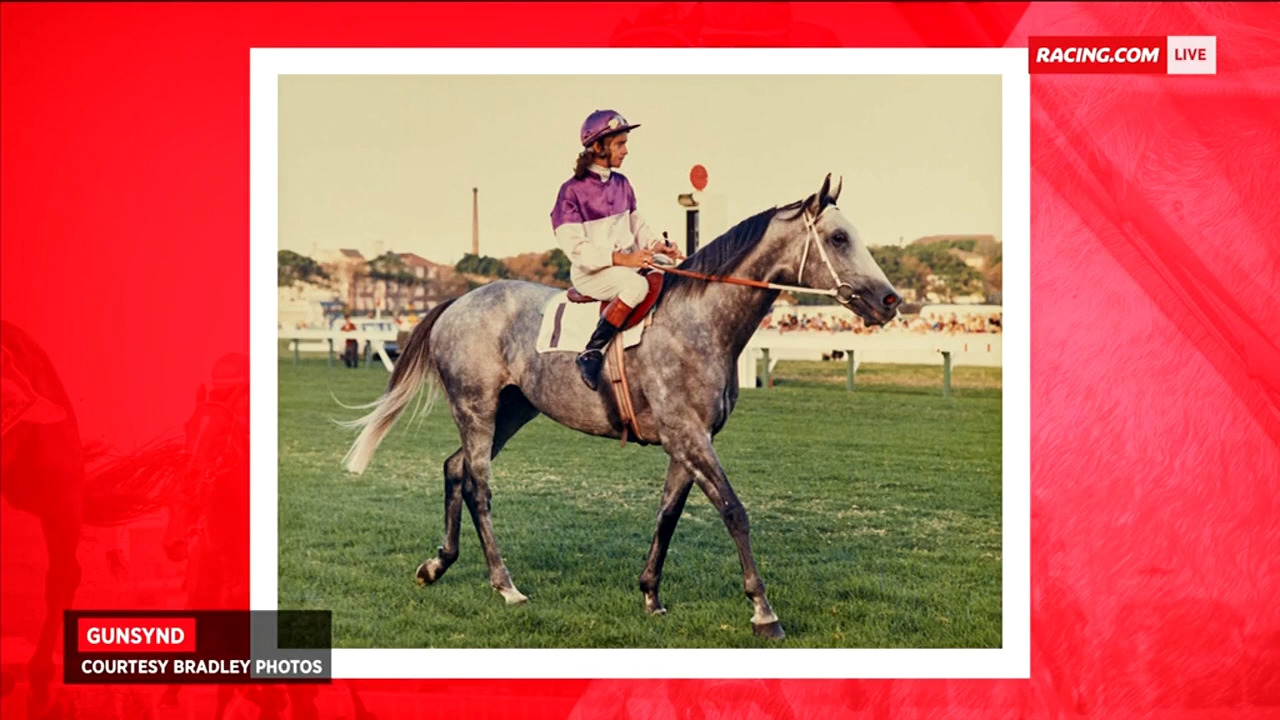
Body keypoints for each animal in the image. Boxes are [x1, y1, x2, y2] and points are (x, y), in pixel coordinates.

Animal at [340, 174, 901, 639]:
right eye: (839, 238)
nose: (890, 300)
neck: (699, 321)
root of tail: (459, 301)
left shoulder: (687, 442)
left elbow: (668, 514)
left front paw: (651, 594)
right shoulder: (688, 436)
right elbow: (734, 511)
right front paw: (763, 611)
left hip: (512, 412)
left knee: (454, 468)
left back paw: (438, 564)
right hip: (476, 409)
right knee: (478, 486)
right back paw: (505, 584)